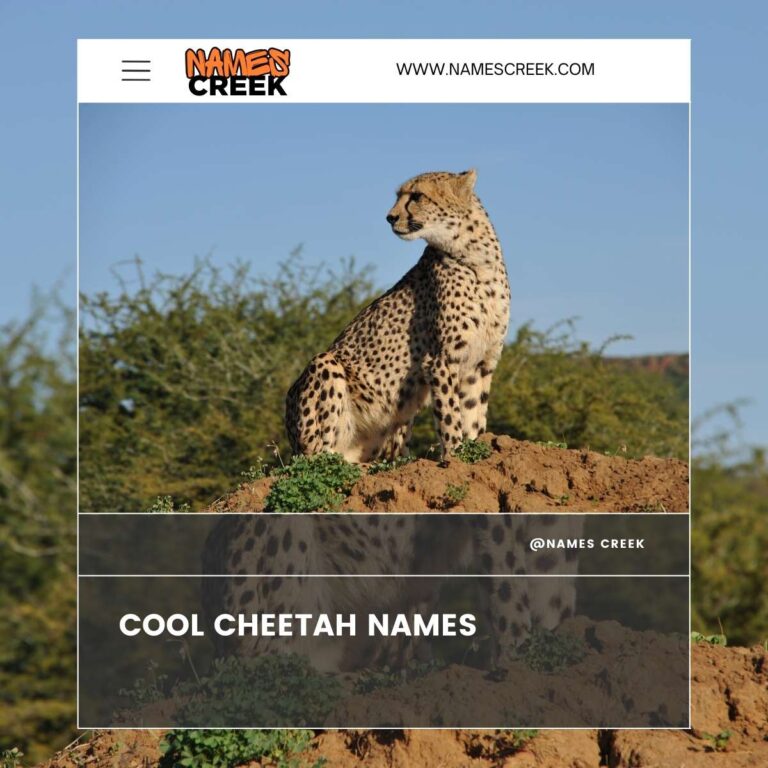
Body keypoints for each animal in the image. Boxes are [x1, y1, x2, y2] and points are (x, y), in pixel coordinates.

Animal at [285, 169, 511, 462]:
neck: (476, 258)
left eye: (417, 196)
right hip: (325, 365)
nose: (390, 217)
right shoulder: (440, 360)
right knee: (318, 457)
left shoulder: (480, 364)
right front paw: (454, 455)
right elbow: (450, 415)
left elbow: (474, 415)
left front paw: (475, 451)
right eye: (399, 196)